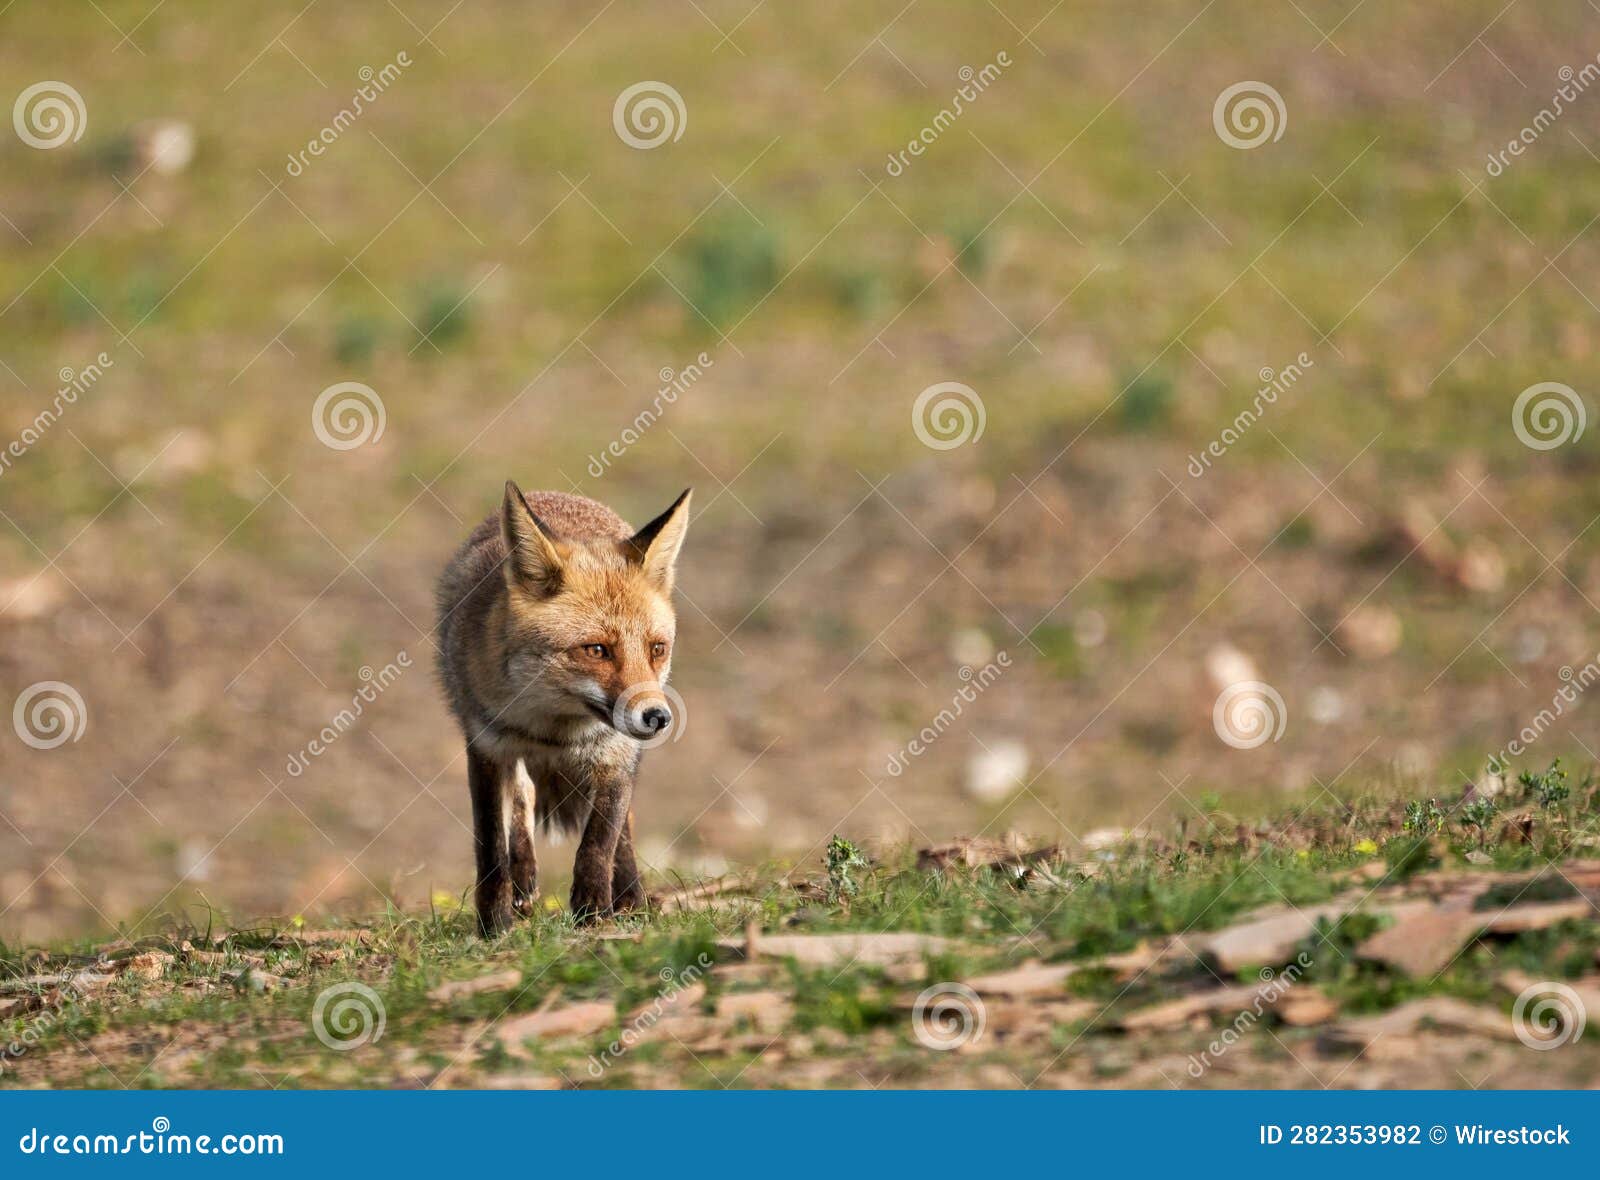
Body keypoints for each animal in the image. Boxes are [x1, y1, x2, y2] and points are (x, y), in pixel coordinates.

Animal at [434, 481, 691, 936]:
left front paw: (593, 912)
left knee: (623, 830)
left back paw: (630, 897)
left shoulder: (616, 754)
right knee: (522, 800)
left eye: (657, 649)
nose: (658, 717)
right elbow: (491, 846)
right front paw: (493, 924)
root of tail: (551, 493)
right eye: (597, 650)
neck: (555, 729)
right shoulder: (486, 746)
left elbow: (600, 841)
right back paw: (524, 881)